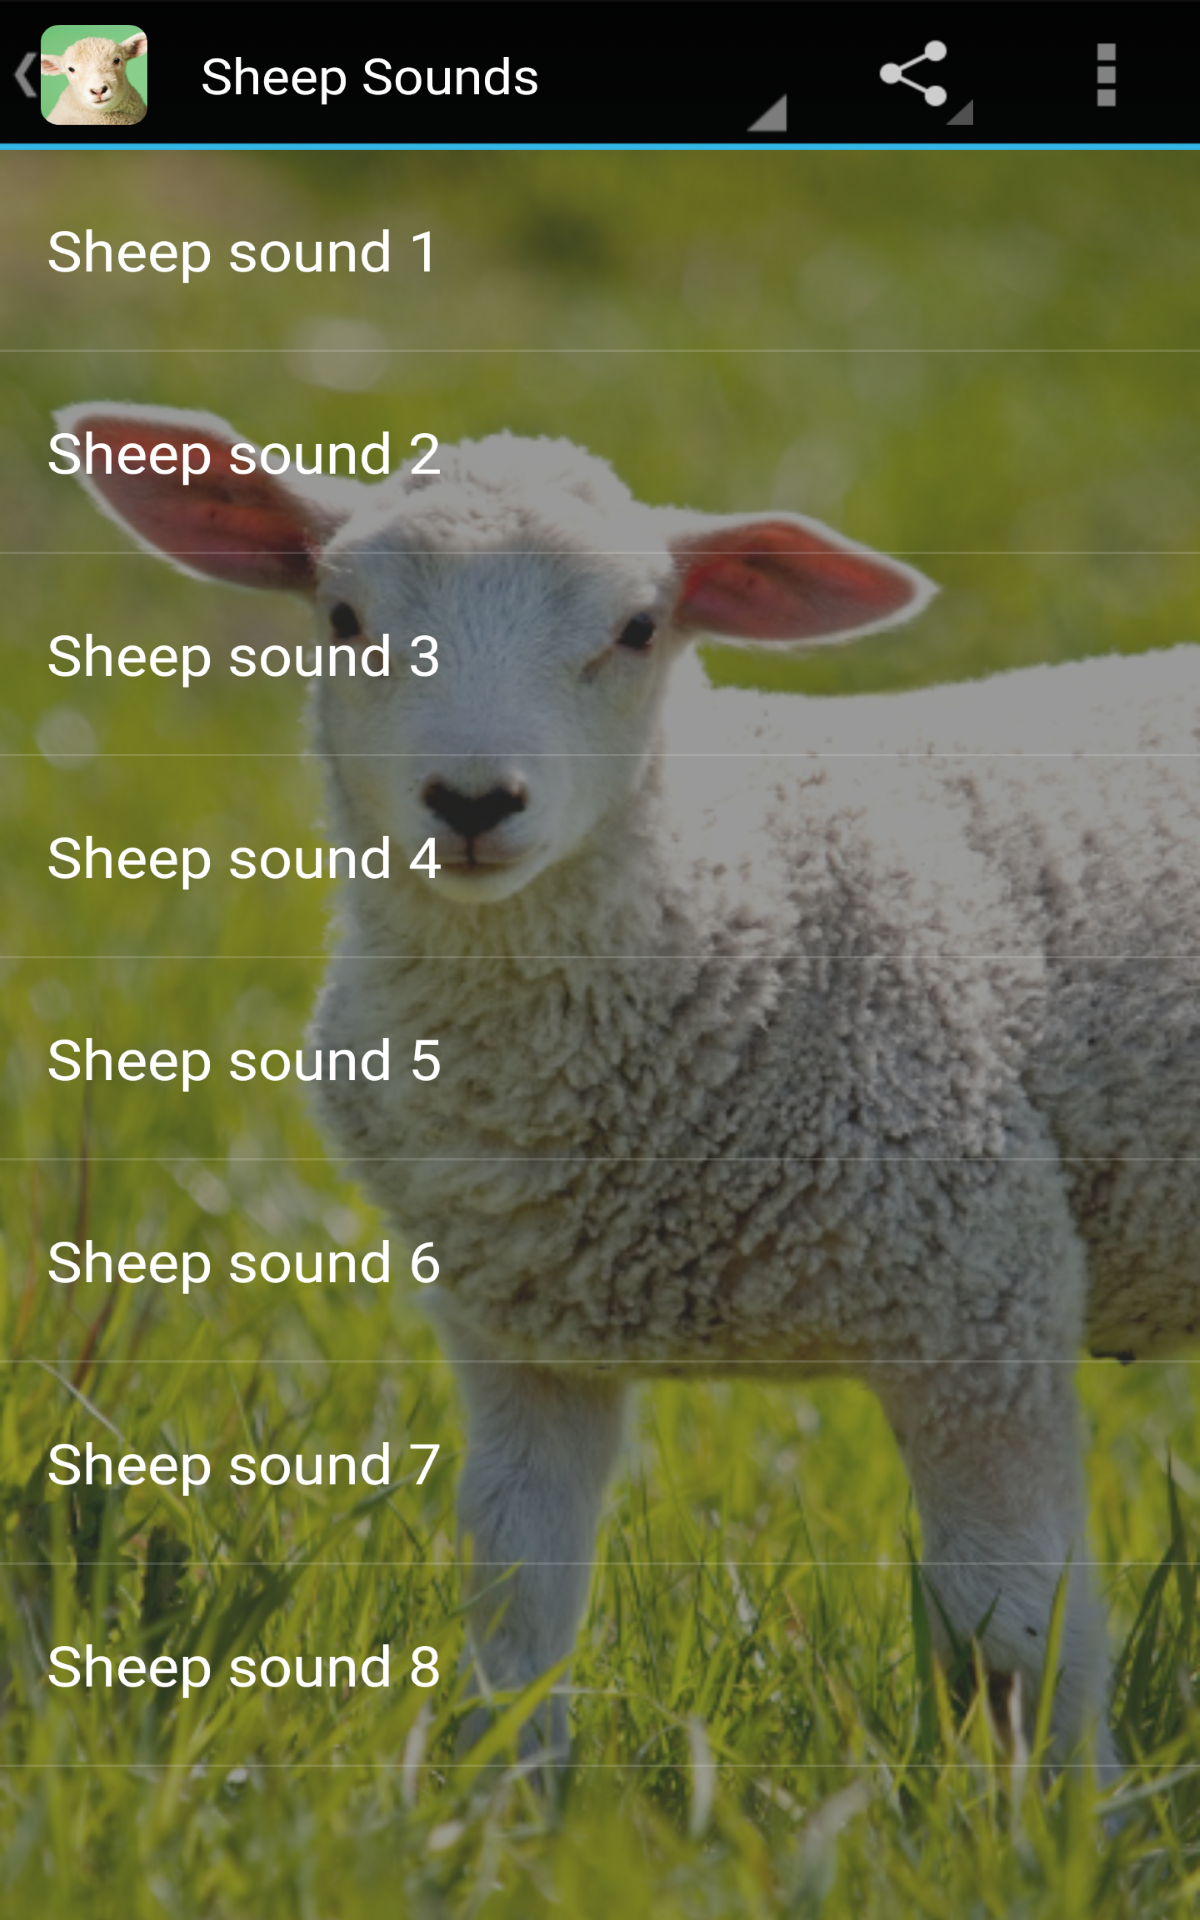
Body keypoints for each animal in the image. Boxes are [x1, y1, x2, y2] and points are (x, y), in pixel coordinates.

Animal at [61, 400, 1200, 1786]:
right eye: (343, 617)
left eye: (639, 629)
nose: (475, 800)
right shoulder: (514, 1336)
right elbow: (517, 1605)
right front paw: (507, 1803)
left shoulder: (982, 1300)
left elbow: (1019, 1634)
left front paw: (1065, 1818)